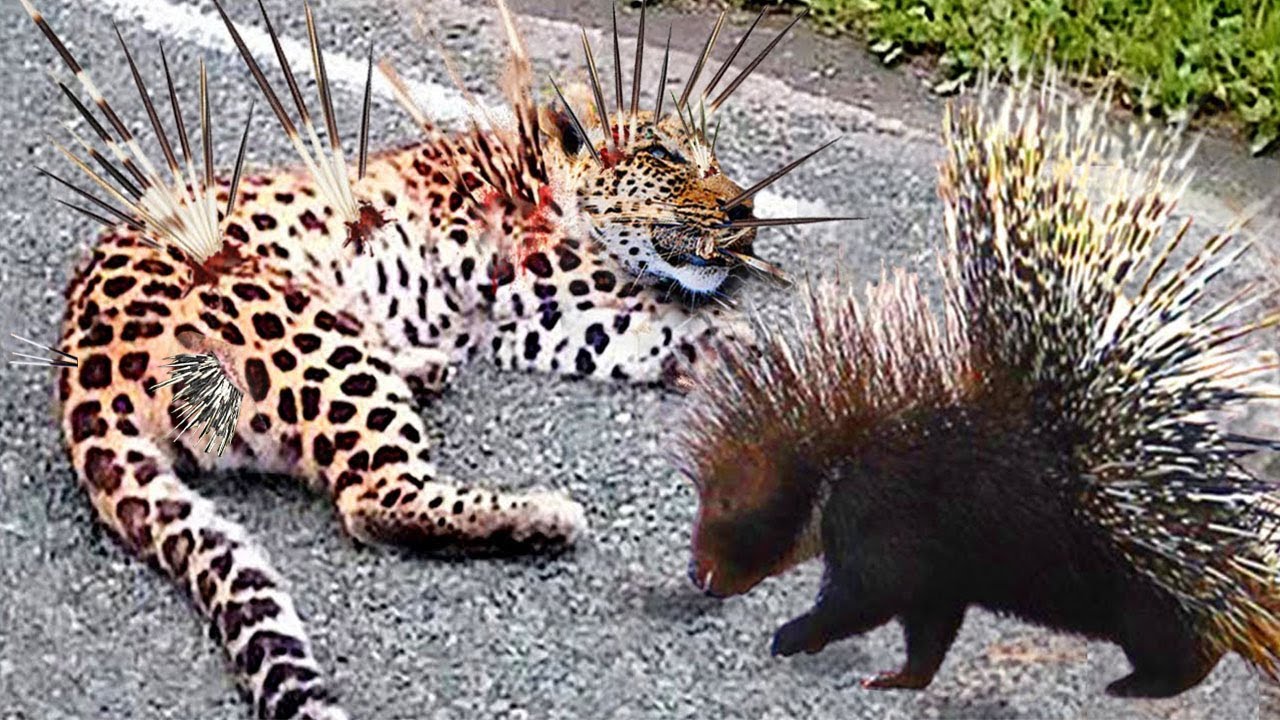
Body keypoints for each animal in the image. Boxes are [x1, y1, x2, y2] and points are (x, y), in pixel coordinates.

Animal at [19, 0, 826, 717]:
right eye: (664, 156)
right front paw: (761, 330)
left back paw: (427, 366)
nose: (745, 212)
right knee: (375, 498)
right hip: (312, 341)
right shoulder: (527, 272)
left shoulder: (527, 323)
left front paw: (738, 340)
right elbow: (647, 300)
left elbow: (637, 333)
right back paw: (541, 515)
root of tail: (80, 367)